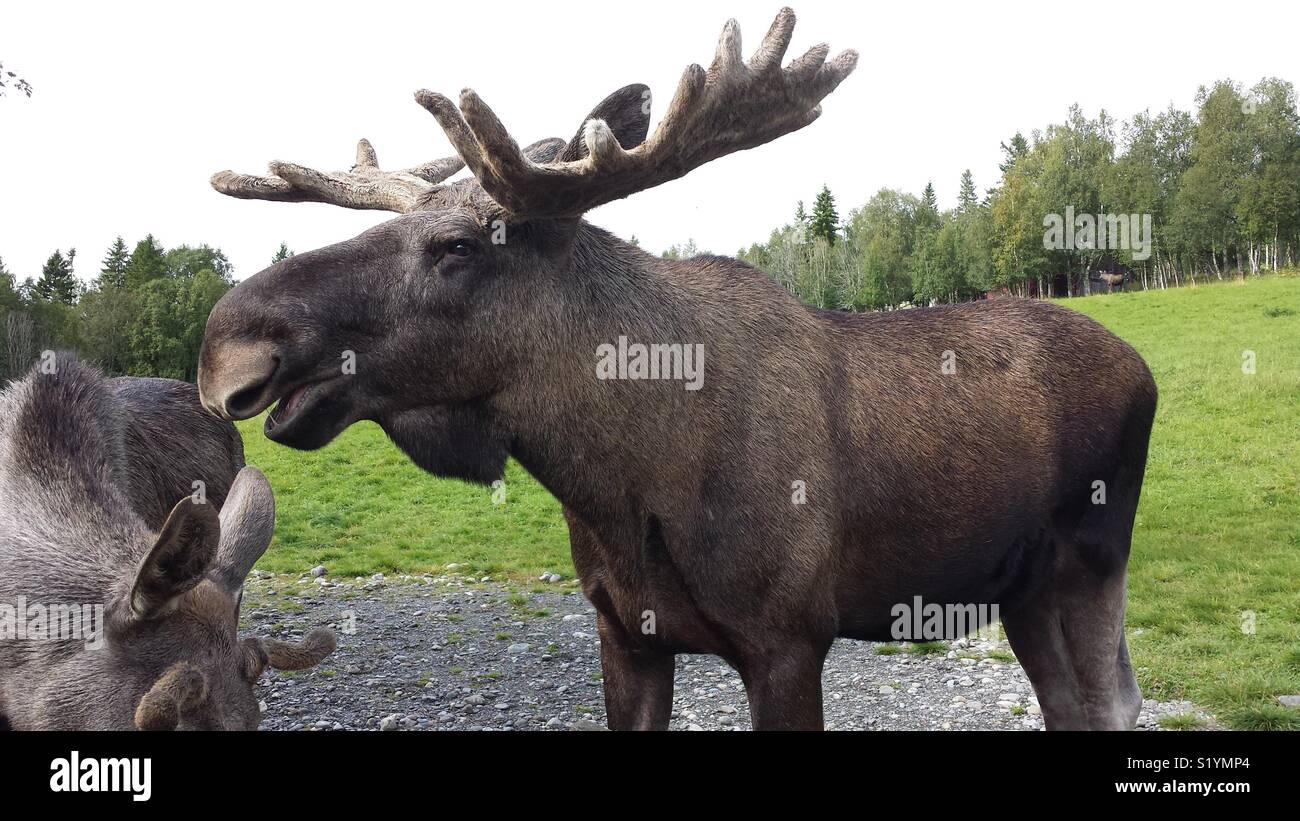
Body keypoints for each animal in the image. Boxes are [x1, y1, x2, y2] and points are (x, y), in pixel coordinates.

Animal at [197, 8, 1157, 730]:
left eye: (460, 246)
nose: (225, 342)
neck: (620, 479)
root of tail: (1143, 367)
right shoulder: (625, 633)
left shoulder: (788, 639)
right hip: (1020, 585)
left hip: (1092, 560)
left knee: (1110, 702)